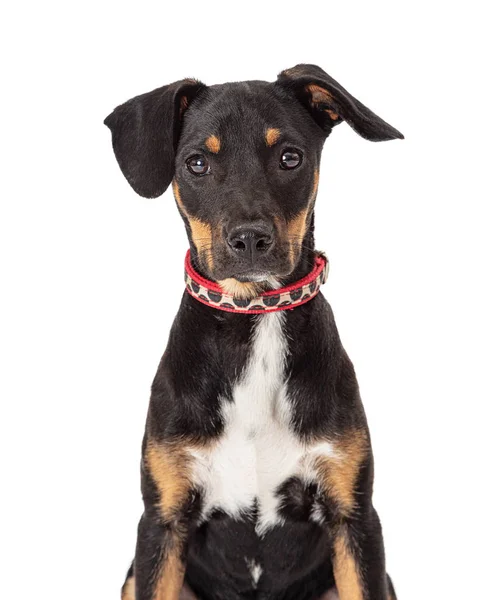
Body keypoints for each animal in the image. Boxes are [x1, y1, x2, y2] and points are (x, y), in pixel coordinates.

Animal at [106, 64, 404, 600]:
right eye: (196, 163)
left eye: (290, 157)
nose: (249, 239)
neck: (255, 321)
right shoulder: (161, 522)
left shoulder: (355, 519)